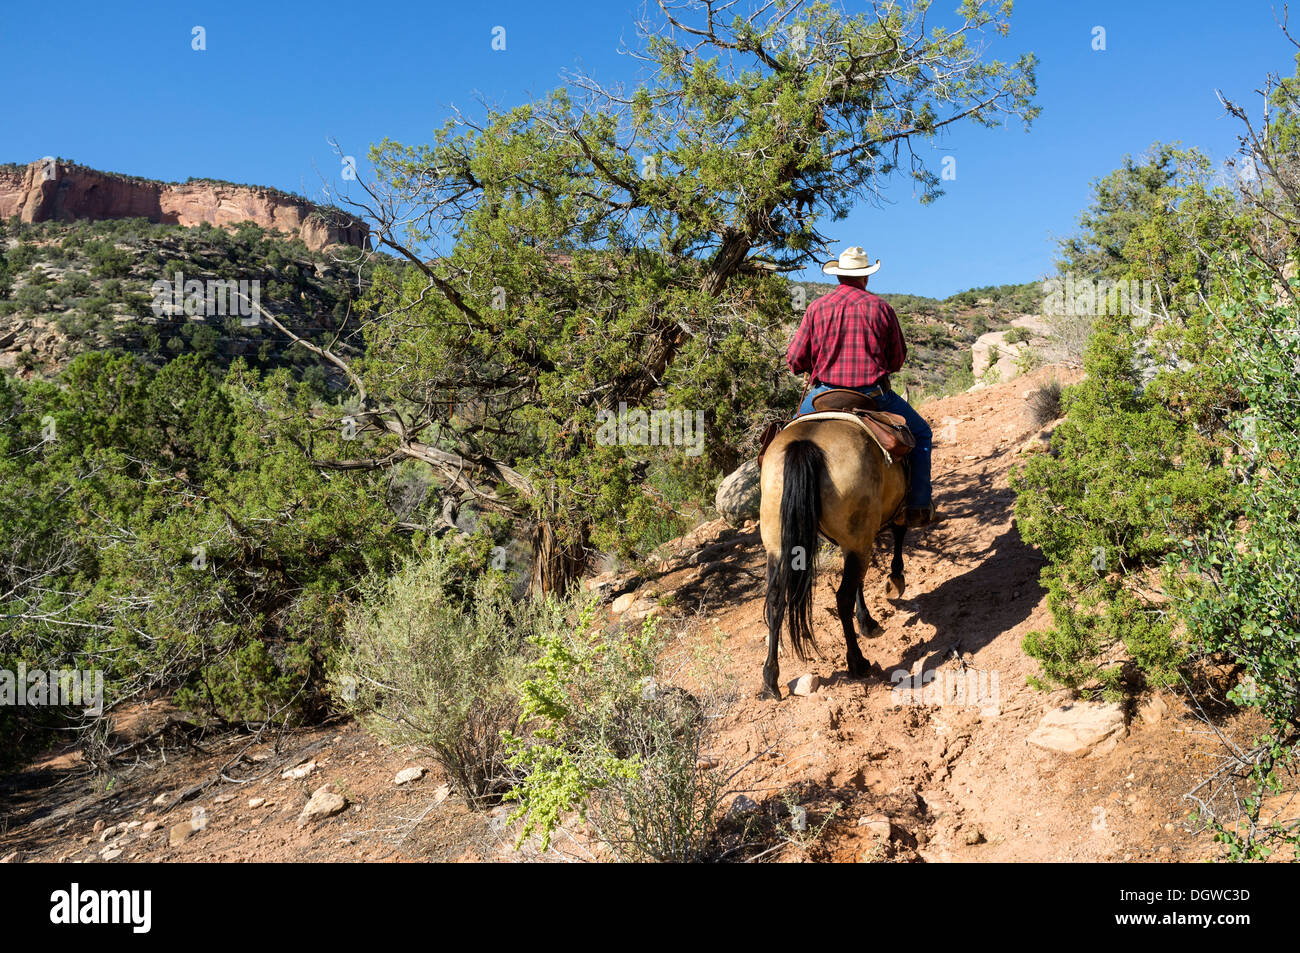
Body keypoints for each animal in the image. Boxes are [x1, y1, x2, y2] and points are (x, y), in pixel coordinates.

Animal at [758, 416, 909, 699]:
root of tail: (804, 445)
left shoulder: (856, 541)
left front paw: (867, 620)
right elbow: (899, 532)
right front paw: (895, 580)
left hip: (777, 545)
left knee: (774, 601)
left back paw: (770, 681)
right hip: (857, 533)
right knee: (842, 597)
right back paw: (858, 662)